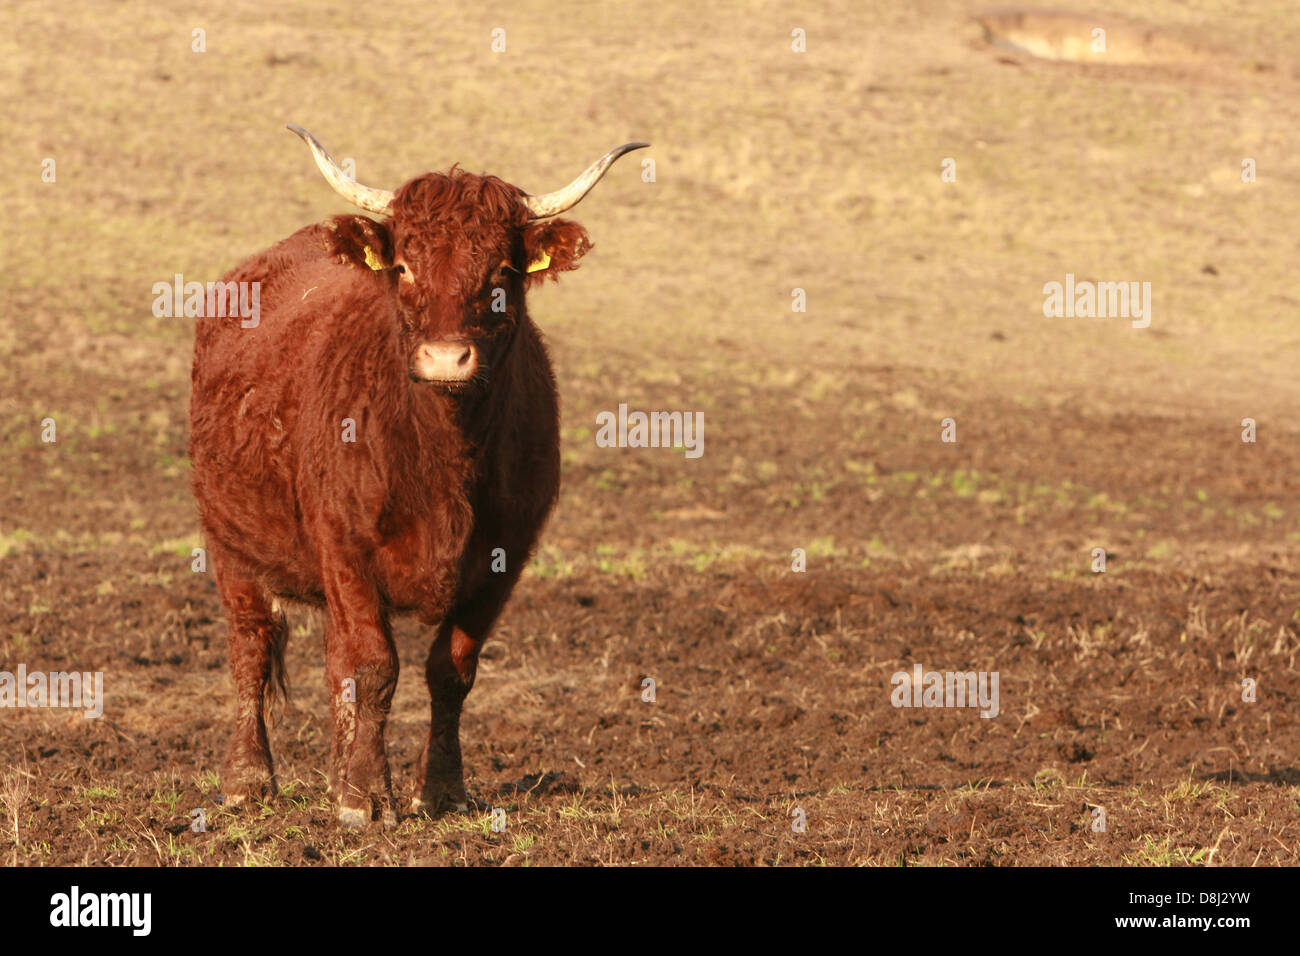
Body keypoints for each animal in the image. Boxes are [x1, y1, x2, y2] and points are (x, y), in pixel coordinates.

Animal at [189, 125, 648, 826]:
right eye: (404, 267)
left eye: (503, 272)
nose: (444, 358)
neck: (444, 458)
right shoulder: (344, 545)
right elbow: (376, 666)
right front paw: (364, 798)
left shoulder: (503, 557)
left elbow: (449, 670)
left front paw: (438, 788)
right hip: (232, 544)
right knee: (252, 646)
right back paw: (249, 779)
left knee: (334, 665)